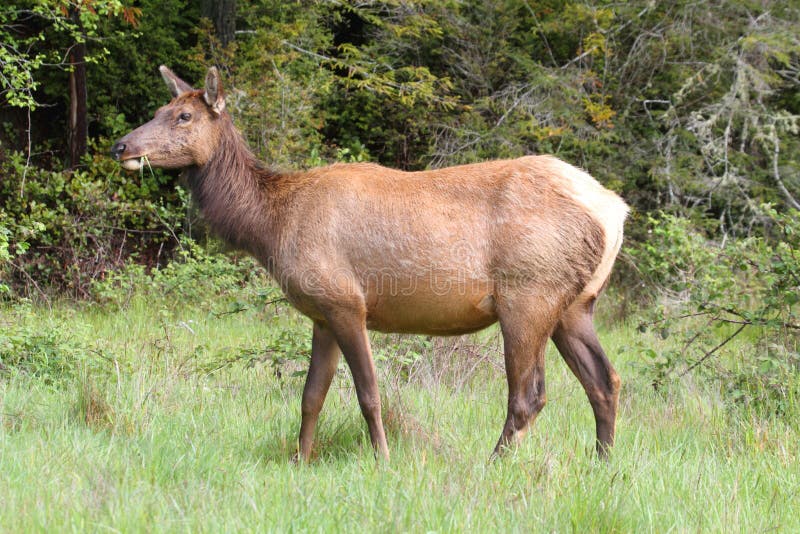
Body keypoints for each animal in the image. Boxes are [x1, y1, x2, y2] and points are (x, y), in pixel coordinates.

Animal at [111, 66, 629, 462]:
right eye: (157, 112)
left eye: (183, 116)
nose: (122, 146)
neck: (272, 224)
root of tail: (615, 210)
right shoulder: (320, 313)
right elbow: (311, 396)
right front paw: (300, 460)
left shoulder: (346, 301)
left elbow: (369, 393)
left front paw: (382, 459)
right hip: (575, 305)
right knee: (605, 380)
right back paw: (602, 463)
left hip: (528, 295)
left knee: (529, 395)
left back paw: (493, 464)